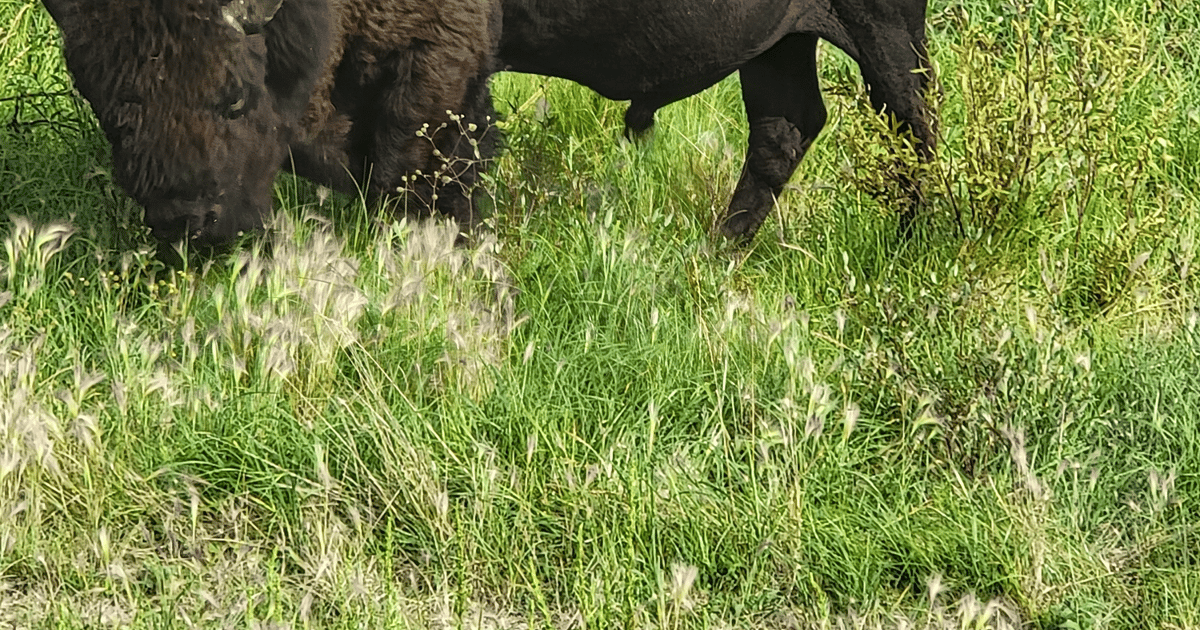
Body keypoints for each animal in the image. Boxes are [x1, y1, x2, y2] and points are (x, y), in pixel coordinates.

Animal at [42, 0, 934, 246]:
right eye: (109, 110)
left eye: (234, 94)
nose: (186, 222)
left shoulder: (438, 67)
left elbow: (424, 177)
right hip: (777, 43)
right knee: (786, 128)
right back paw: (720, 252)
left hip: (886, 26)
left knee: (912, 125)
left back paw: (910, 244)